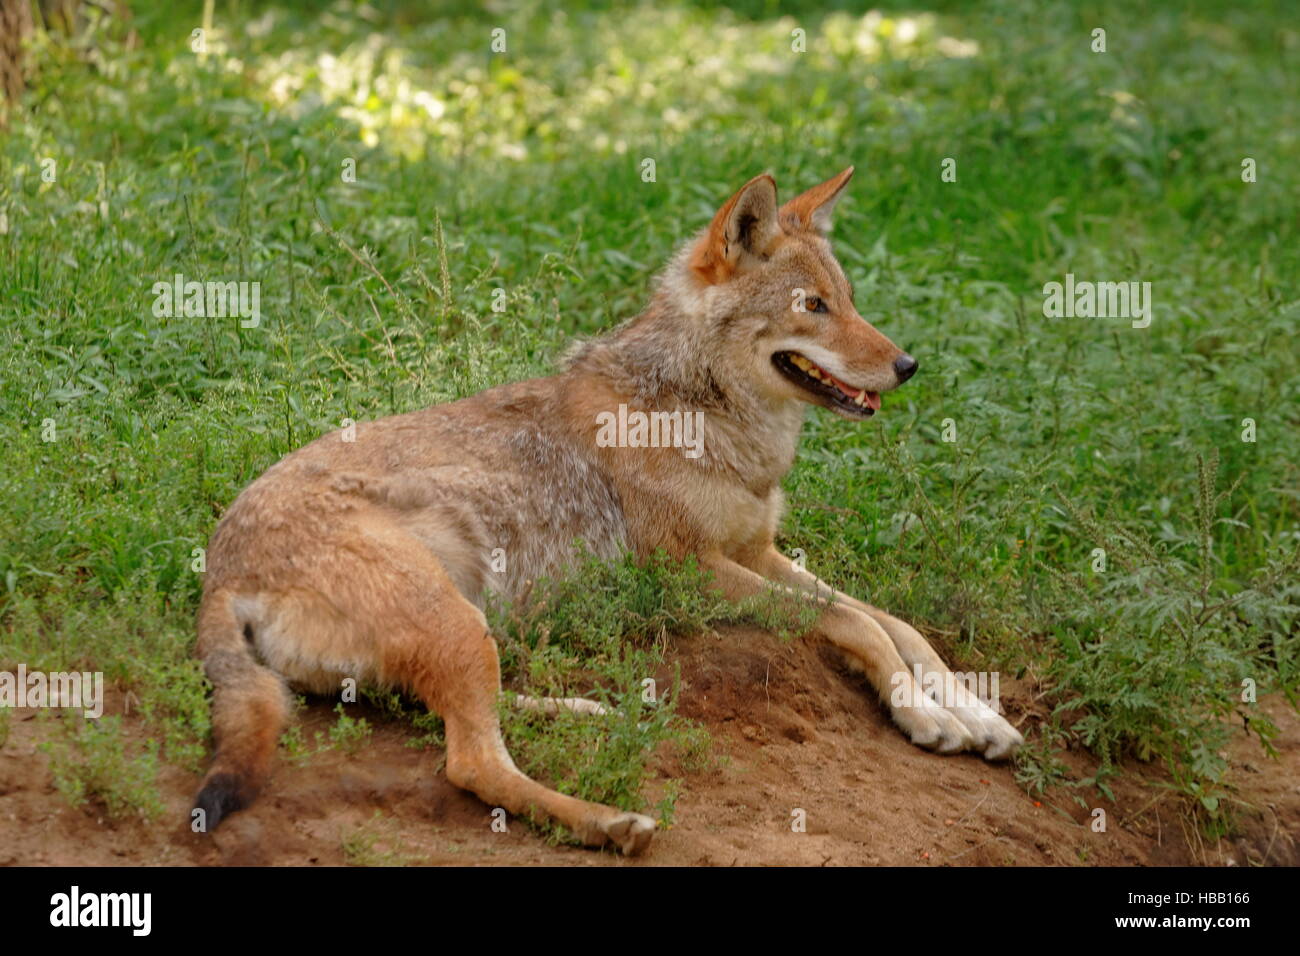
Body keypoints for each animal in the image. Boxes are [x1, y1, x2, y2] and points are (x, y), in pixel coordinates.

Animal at [193, 168, 1023, 856]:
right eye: (811, 308)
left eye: (847, 299)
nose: (908, 366)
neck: (708, 418)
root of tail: (217, 570)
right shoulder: (693, 572)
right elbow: (857, 624)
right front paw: (924, 716)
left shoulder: (757, 552)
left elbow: (899, 626)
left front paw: (975, 714)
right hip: (454, 620)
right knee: (471, 764)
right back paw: (610, 823)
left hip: (467, 625)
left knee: (466, 714)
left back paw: (590, 712)